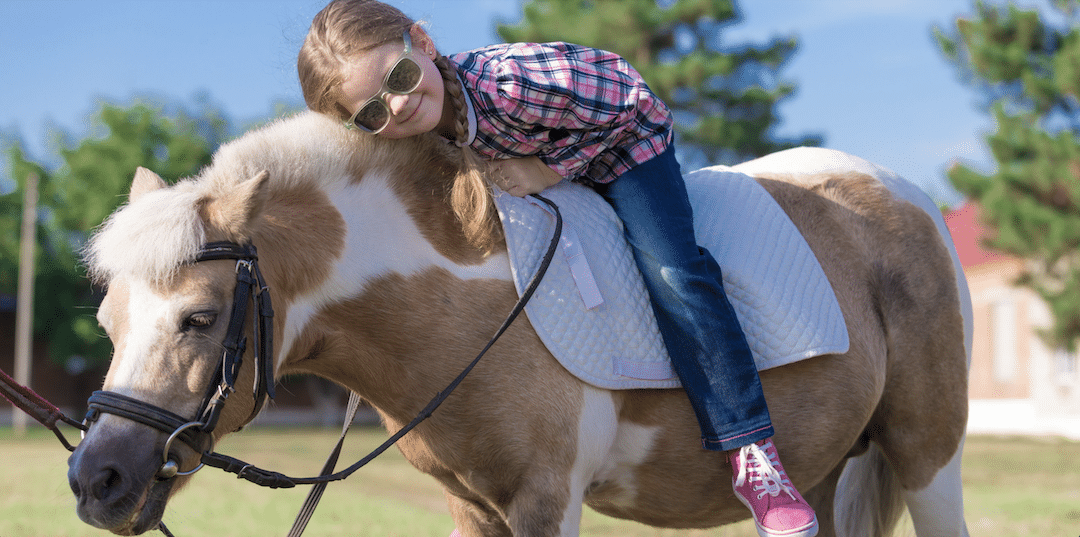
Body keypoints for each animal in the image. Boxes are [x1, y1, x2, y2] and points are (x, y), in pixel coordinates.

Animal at [67, 110, 972, 537]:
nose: (96, 478)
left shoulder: (547, 499)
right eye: (108, 321)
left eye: (199, 316)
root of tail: (900, 197)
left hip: (927, 458)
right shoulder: (473, 507)